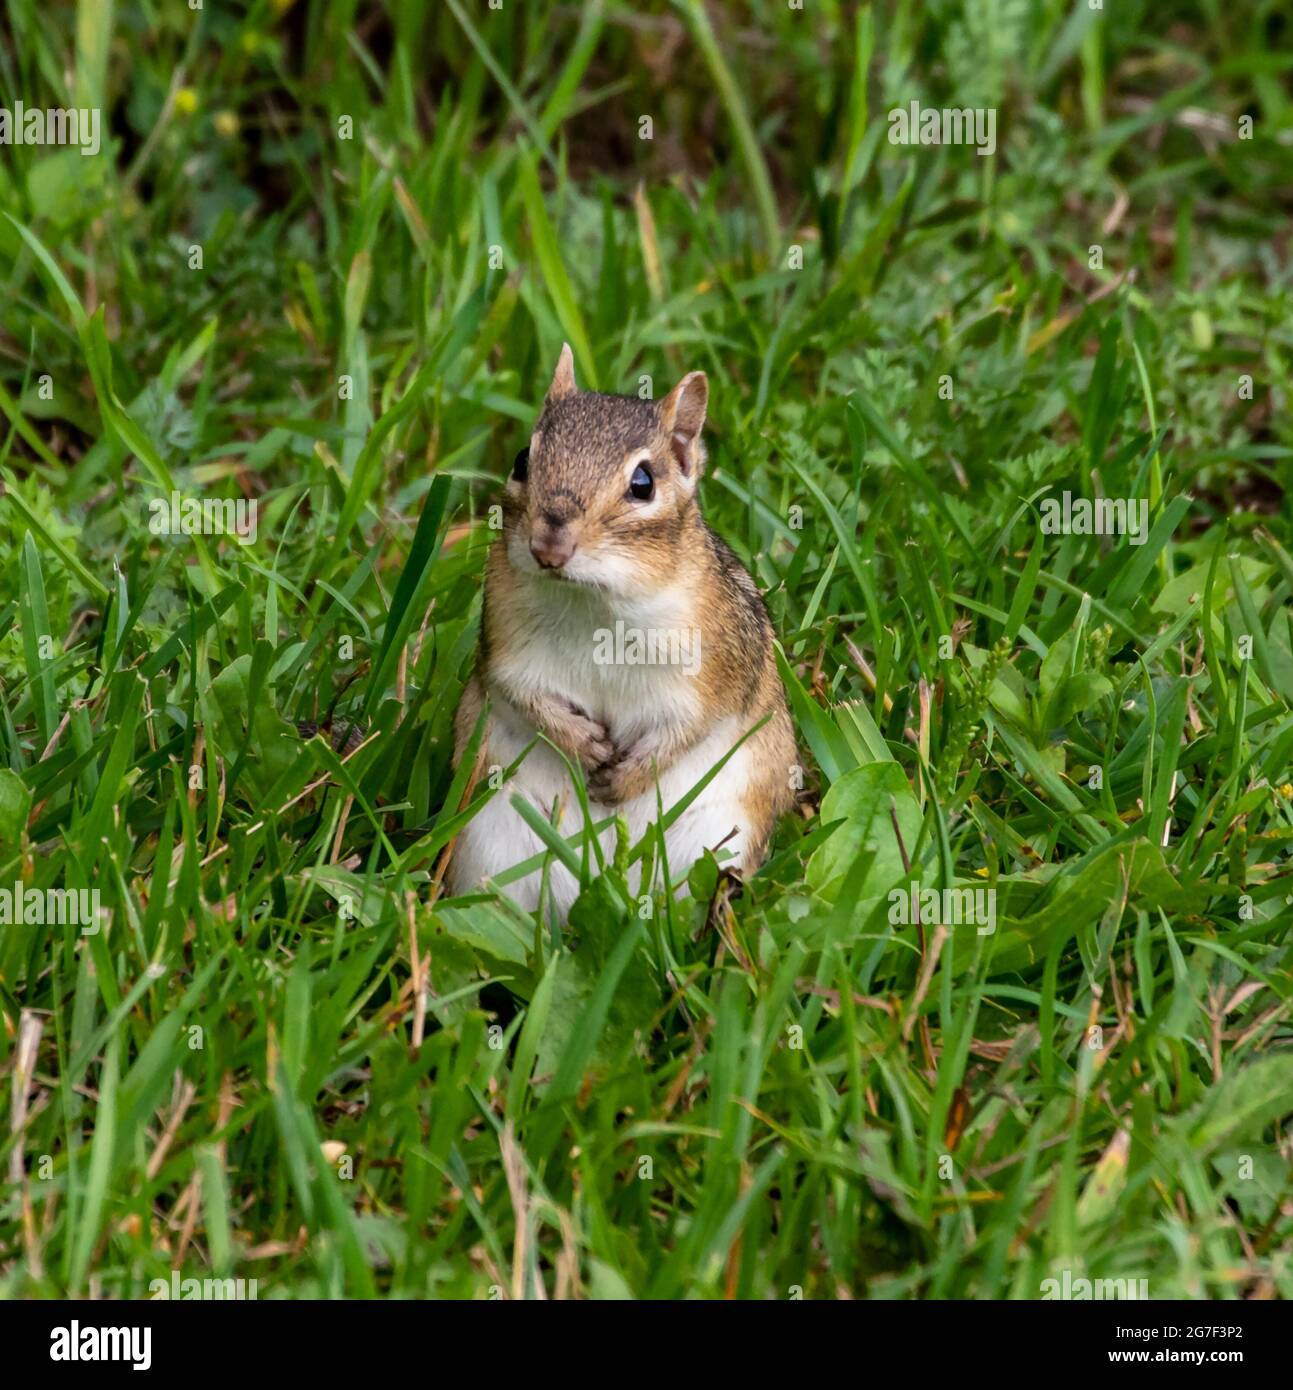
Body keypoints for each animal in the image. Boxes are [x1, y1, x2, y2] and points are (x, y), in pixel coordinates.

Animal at [447, 344, 797, 919]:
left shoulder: (712, 668)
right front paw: (582, 745)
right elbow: (520, 692)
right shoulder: (505, 643)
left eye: (643, 483)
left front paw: (627, 776)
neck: (594, 603)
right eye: (522, 459)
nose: (548, 548)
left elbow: (692, 724)